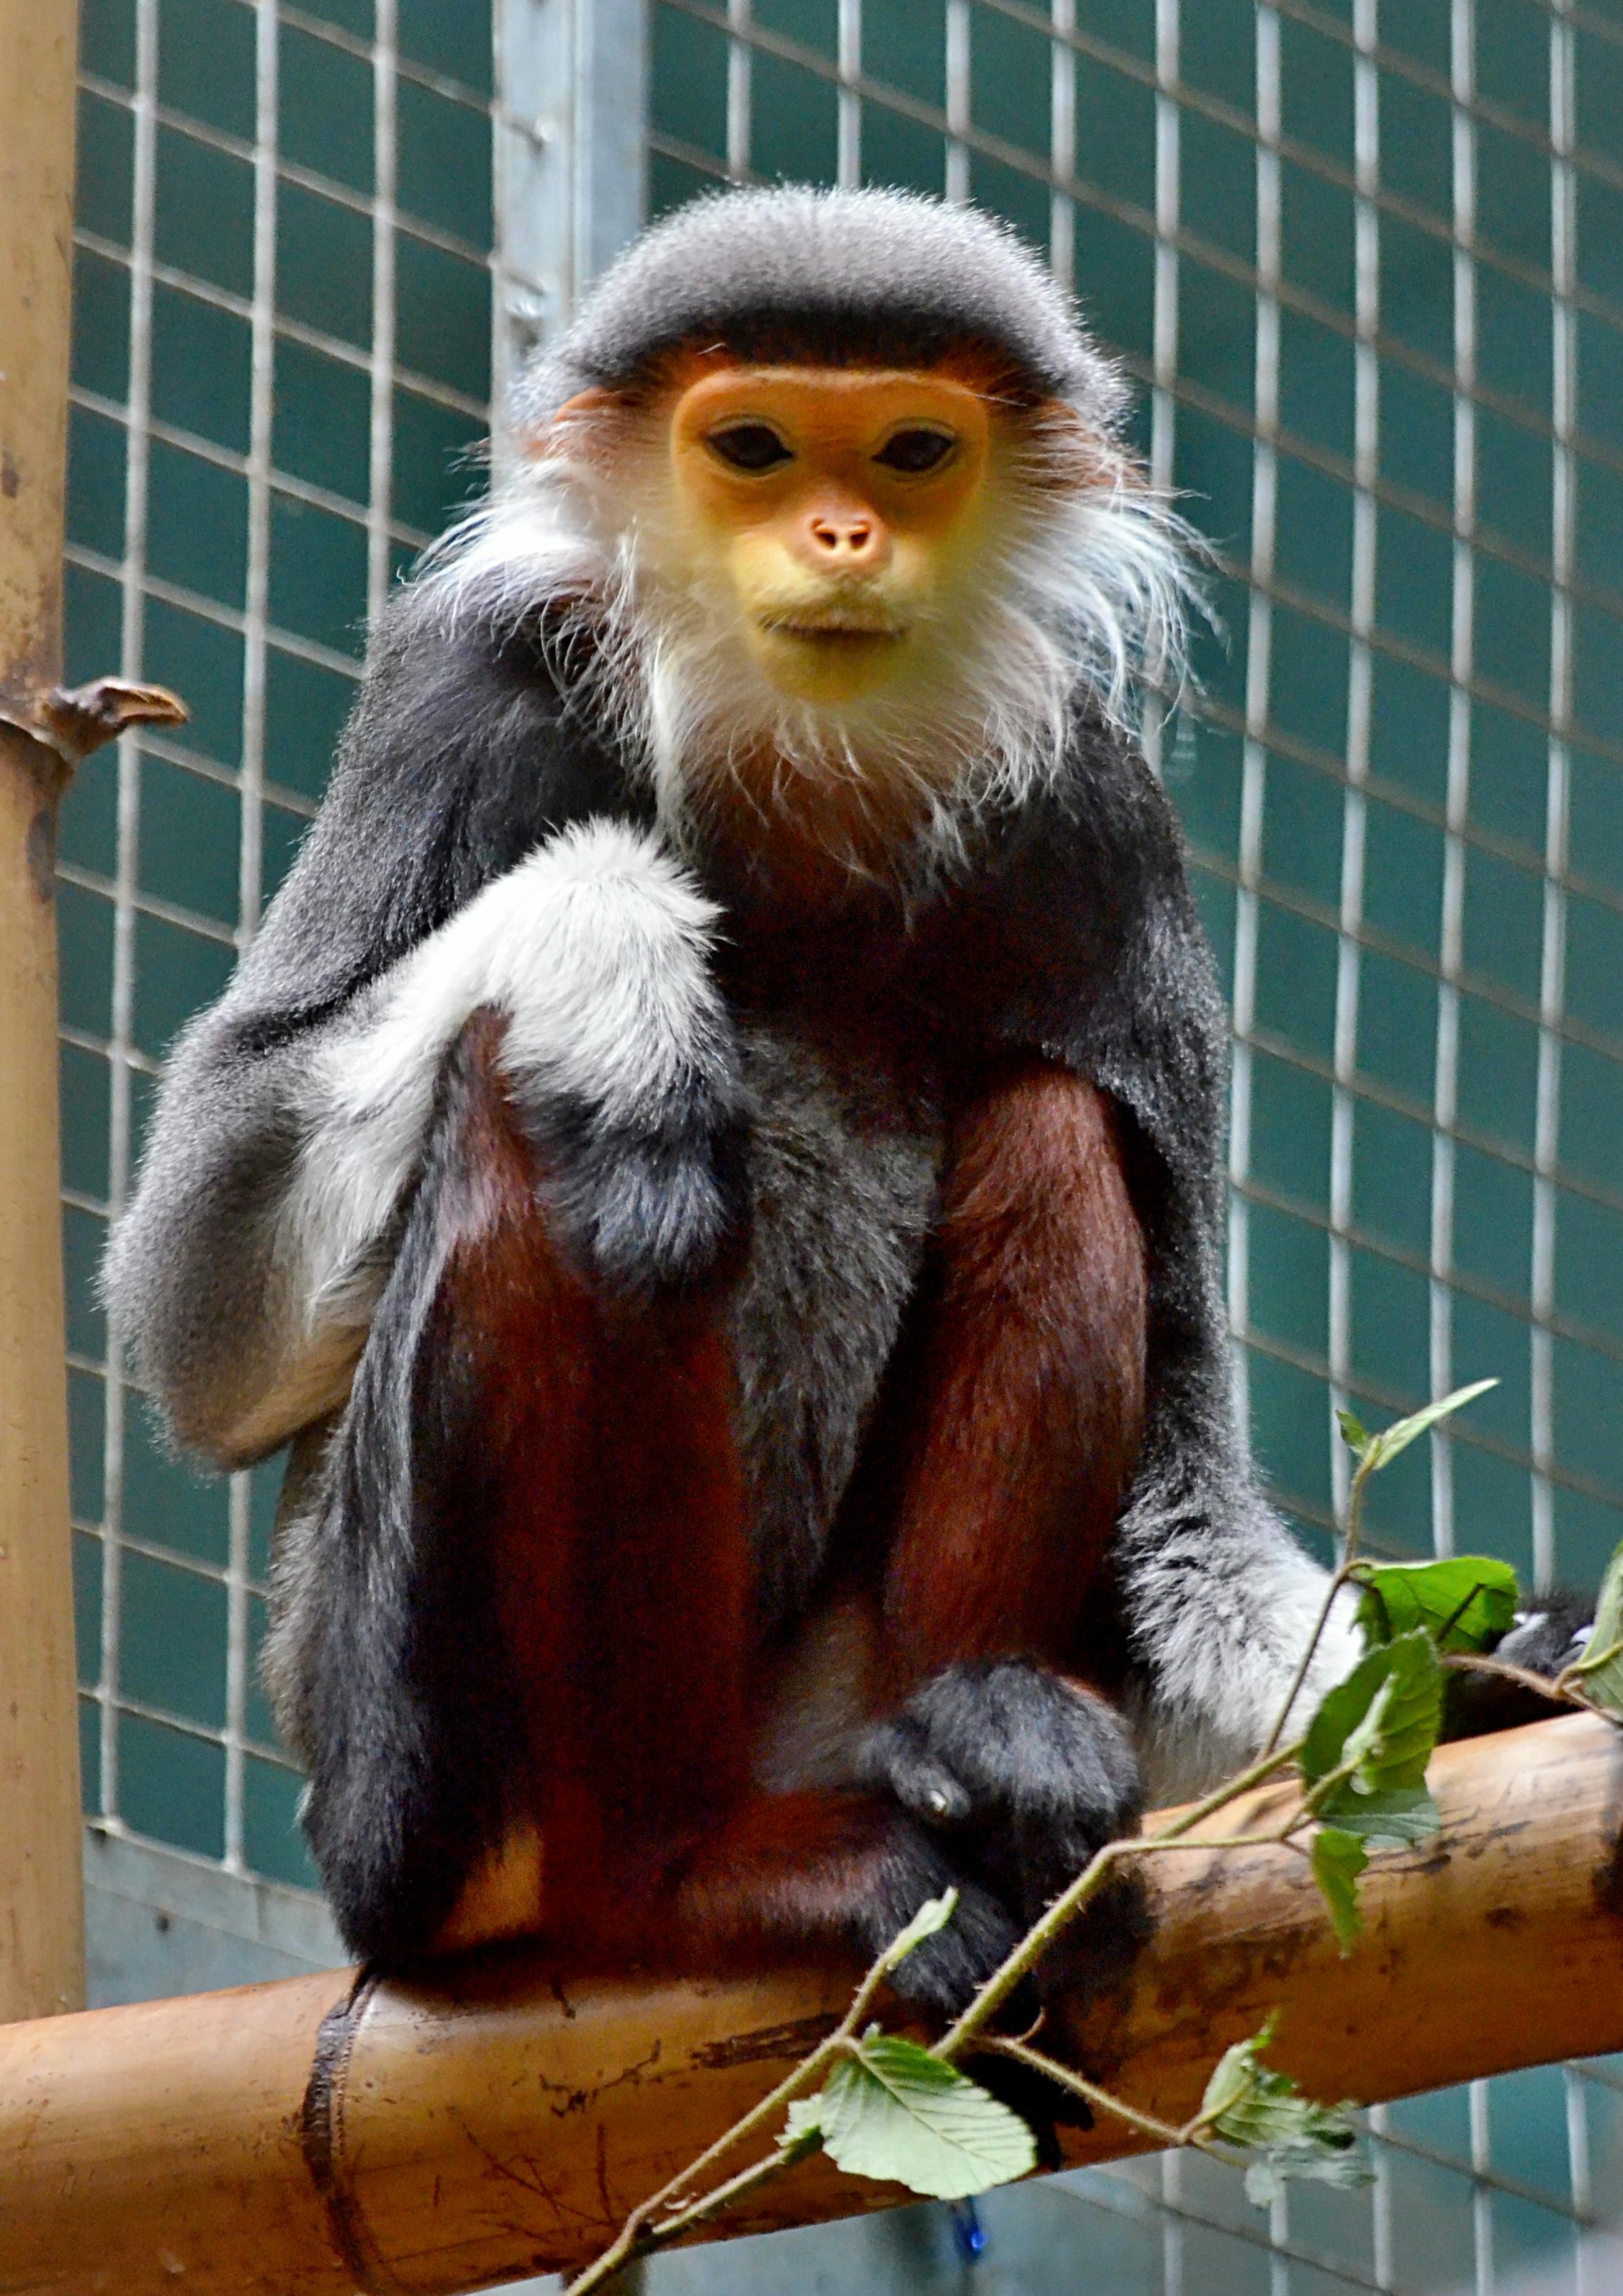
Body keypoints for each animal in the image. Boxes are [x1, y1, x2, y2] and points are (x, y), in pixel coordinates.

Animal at [106, 185, 1376, 2013]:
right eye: (757, 447)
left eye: (912, 451)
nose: (841, 534)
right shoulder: (464, 685)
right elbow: (202, 1303)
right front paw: (617, 947)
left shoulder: (1097, 820)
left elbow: (1185, 1489)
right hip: (399, 1781)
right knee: (561, 1132)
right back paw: (675, 1873)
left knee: (1052, 1121)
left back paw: (972, 1745)